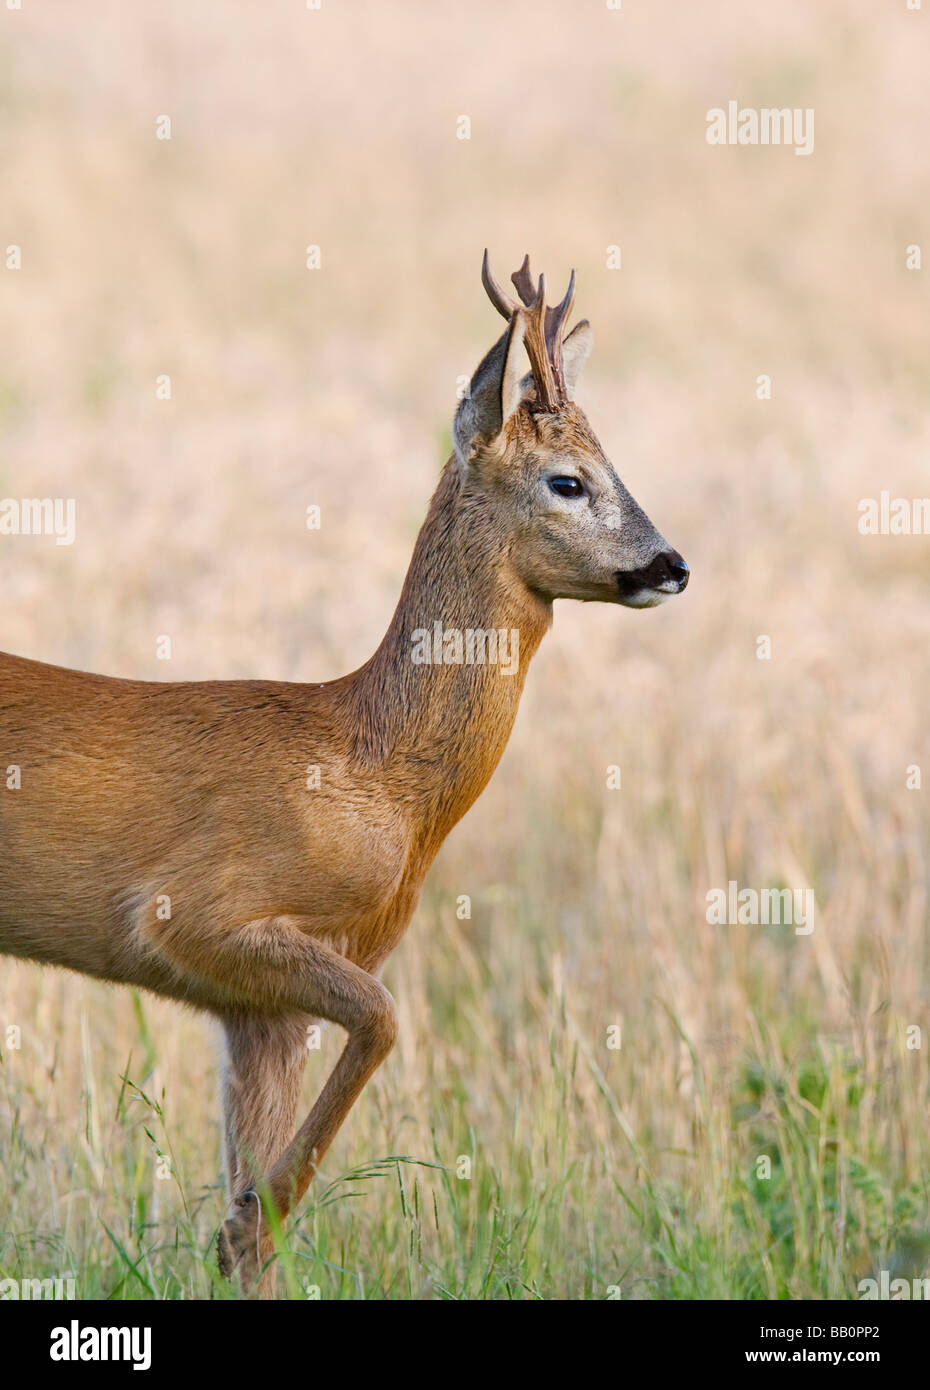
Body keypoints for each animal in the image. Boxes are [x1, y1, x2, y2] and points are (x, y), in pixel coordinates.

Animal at [0, 253, 689, 1295]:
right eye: (568, 480)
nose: (671, 563)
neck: (378, 771)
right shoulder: (197, 915)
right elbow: (387, 1024)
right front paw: (243, 1224)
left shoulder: (256, 1011)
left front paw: (241, 1232)